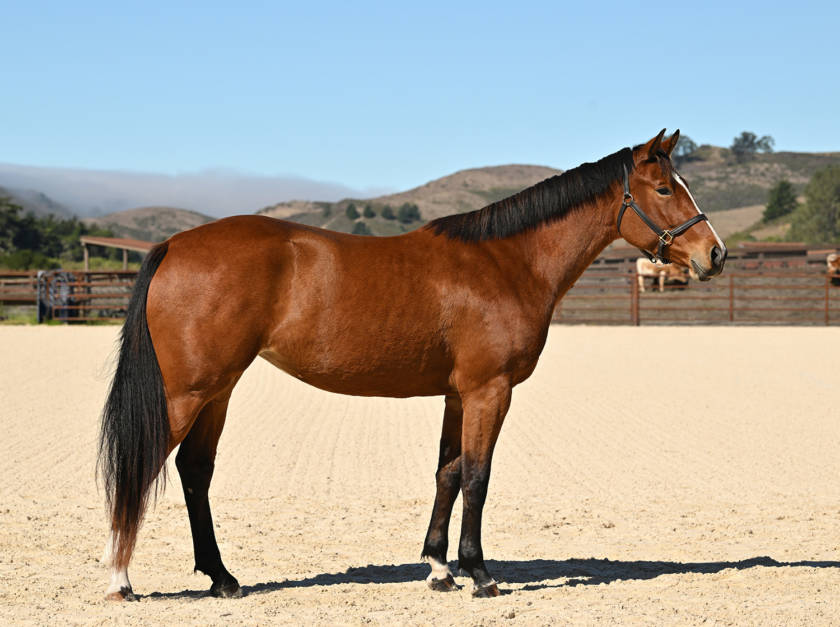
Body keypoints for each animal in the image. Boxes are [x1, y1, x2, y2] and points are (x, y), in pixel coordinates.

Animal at [98, 129, 727, 601]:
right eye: (665, 188)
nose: (714, 254)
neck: (507, 261)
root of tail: (174, 245)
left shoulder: (457, 394)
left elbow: (447, 473)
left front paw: (439, 569)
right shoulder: (489, 390)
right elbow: (477, 477)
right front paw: (480, 574)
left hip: (218, 389)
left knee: (194, 470)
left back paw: (223, 579)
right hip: (187, 392)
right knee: (143, 467)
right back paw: (121, 579)